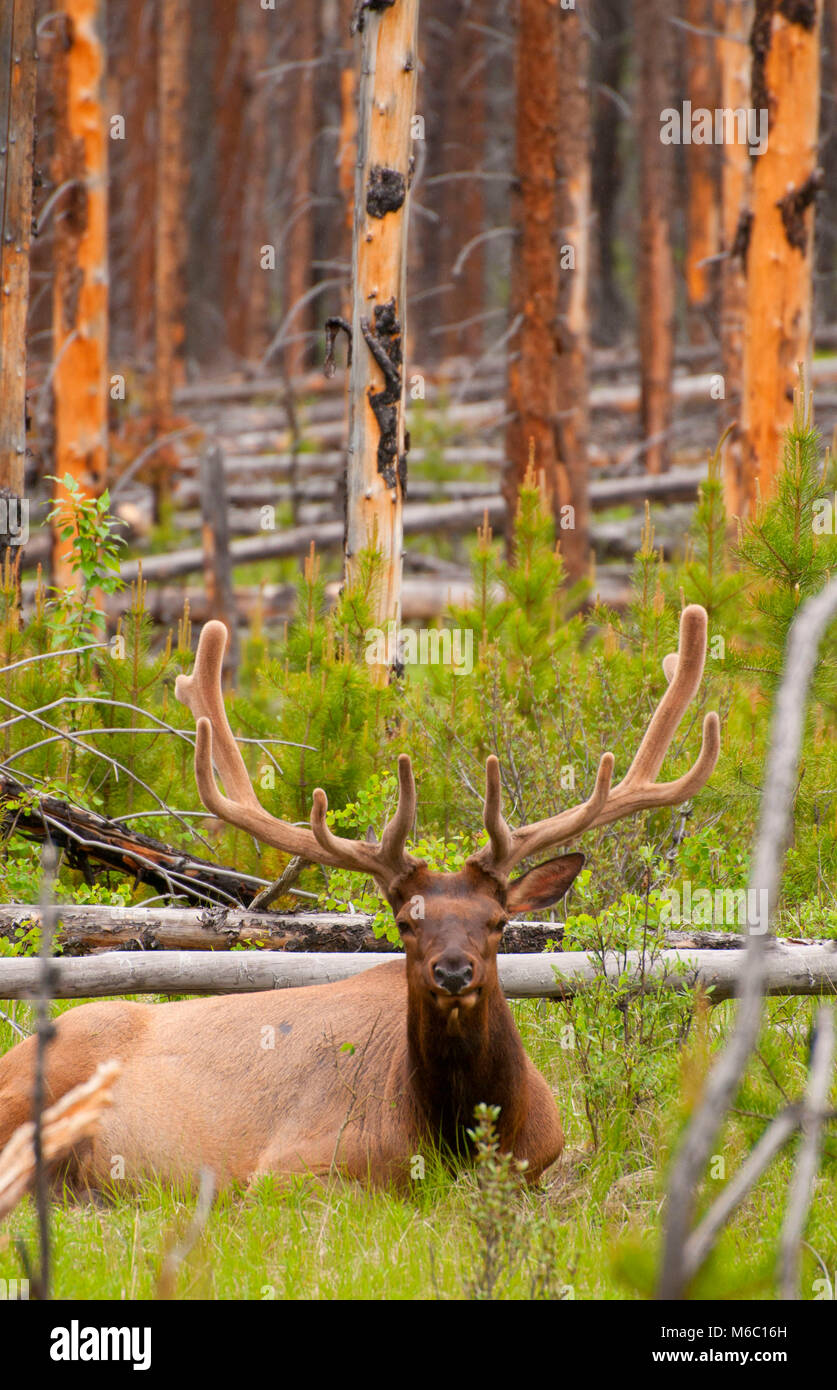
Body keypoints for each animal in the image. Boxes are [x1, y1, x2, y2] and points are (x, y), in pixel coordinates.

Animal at [0, 605, 719, 1193]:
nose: (452, 971)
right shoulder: (287, 1166)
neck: (453, 1136)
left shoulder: (541, 1160)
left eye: (497, 921)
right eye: (405, 921)